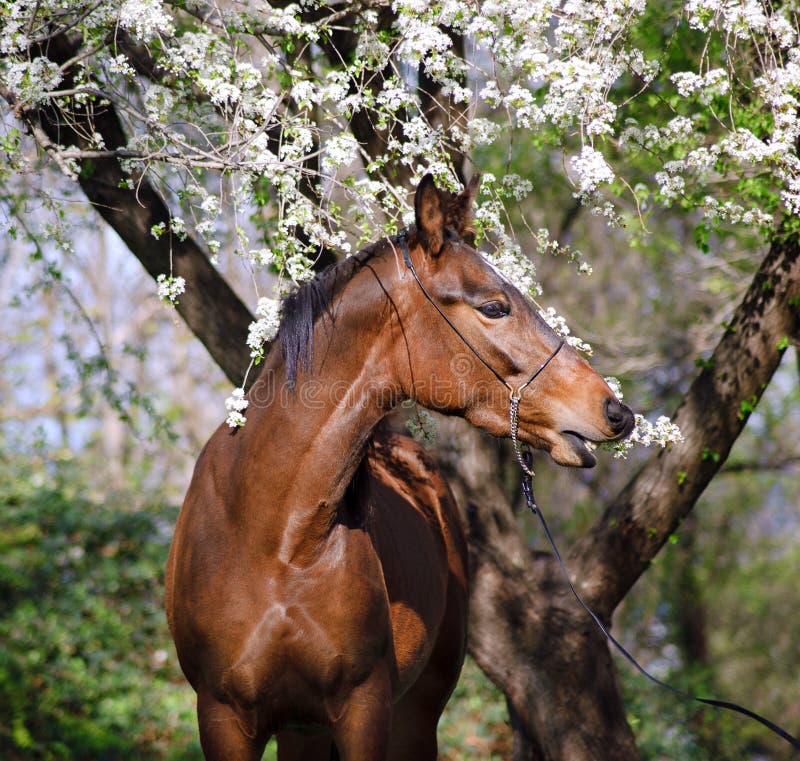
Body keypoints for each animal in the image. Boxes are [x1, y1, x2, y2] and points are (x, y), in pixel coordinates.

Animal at [165, 174, 635, 761]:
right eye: (495, 307)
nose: (617, 412)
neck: (272, 535)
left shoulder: (365, 710)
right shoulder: (223, 718)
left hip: (412, 718)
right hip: (304, 732)